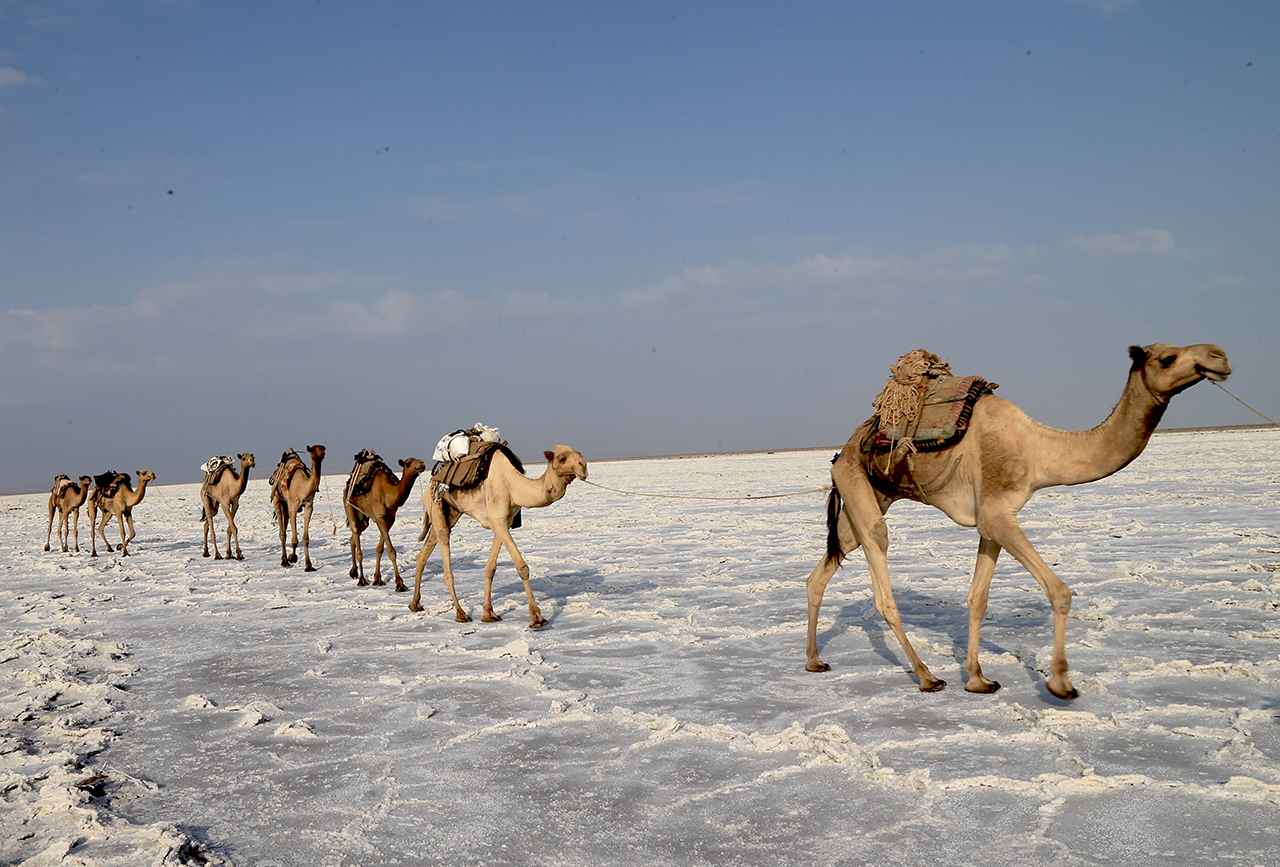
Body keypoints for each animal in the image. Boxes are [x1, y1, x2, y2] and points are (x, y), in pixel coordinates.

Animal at [343, 452, 427, 588]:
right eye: (408, 463)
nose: (422, 464)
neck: (388, 494)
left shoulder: (389, 519)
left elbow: (380, 549)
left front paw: (378, 579)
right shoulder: (379, 517)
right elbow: (391, 551)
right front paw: (399, 583)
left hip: (363, 517)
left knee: (354, 536)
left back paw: (353, 571)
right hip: (348, 504)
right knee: (355, 533)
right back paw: (361, 579)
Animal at [409, 444, 588, 629]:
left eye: (579, 454)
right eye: (561, 458)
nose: (583, 467)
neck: (512, 486)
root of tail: (434, 477)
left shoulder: (503, 522)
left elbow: (490, 568)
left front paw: (488, 613)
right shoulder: (498, 519)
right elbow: (522, 567)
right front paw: (537, 618)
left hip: (450, 511)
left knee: (424, 552)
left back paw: (415, 604)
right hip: (436, 502)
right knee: (445, 547)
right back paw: (461, 613)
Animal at [805, 343, 1231, 700]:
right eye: (1168, 358)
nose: (1219, 356)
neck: (1039, 450)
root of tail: (841, 454)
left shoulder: (991, 521)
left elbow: (977, 599)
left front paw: (978, 679)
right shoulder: (997, 514)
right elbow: (1059, 590)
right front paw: (1060, 683)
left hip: (868, 497)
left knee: (821, 572)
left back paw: (814, 660)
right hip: (859, 489)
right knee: (881, 574)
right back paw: (927, 677)